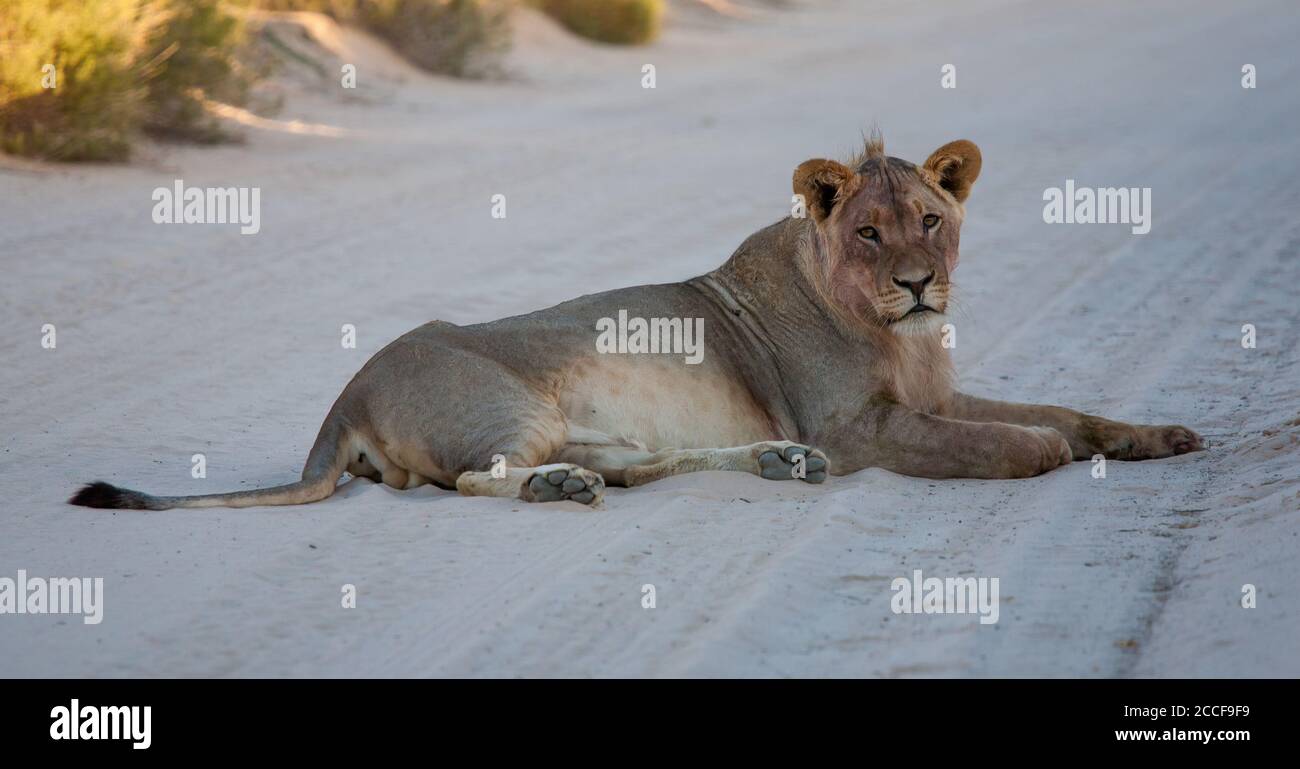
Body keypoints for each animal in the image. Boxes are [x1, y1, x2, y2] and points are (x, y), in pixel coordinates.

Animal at [70, 136, 1204, 510]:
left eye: (930, 219)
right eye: (869, 233)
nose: (922, 283)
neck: (902, 336)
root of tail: (345, 391)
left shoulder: (933, 391)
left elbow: (1066, 406)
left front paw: (1158, 436)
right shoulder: (858, 425)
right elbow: (1013, 440)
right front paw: (1047, 453)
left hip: (596, 425)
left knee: (632, 468)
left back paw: (770, 464)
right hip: (509, 406)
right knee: (478, 481)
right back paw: (562, 489)